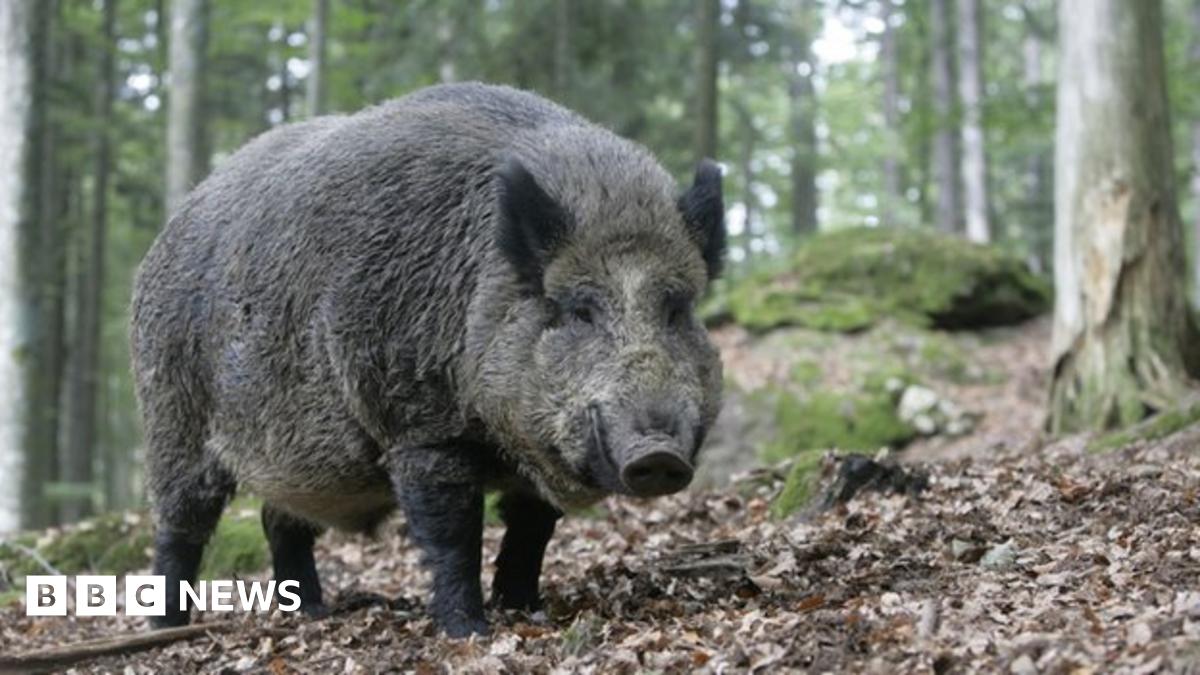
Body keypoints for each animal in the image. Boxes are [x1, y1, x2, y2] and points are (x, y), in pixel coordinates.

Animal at [131, 83, 726, 637]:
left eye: (677, 308)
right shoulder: (419, 425)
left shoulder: (540, 444)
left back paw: (315, 614)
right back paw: (166, 629)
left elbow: (530, 532)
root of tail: (165, 235)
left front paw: (523, 609)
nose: (658, 453)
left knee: (280, 519)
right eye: (579, 309)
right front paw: (469, 630)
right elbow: (453, 531)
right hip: (172, 415)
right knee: (181, 524)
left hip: (301, 462)